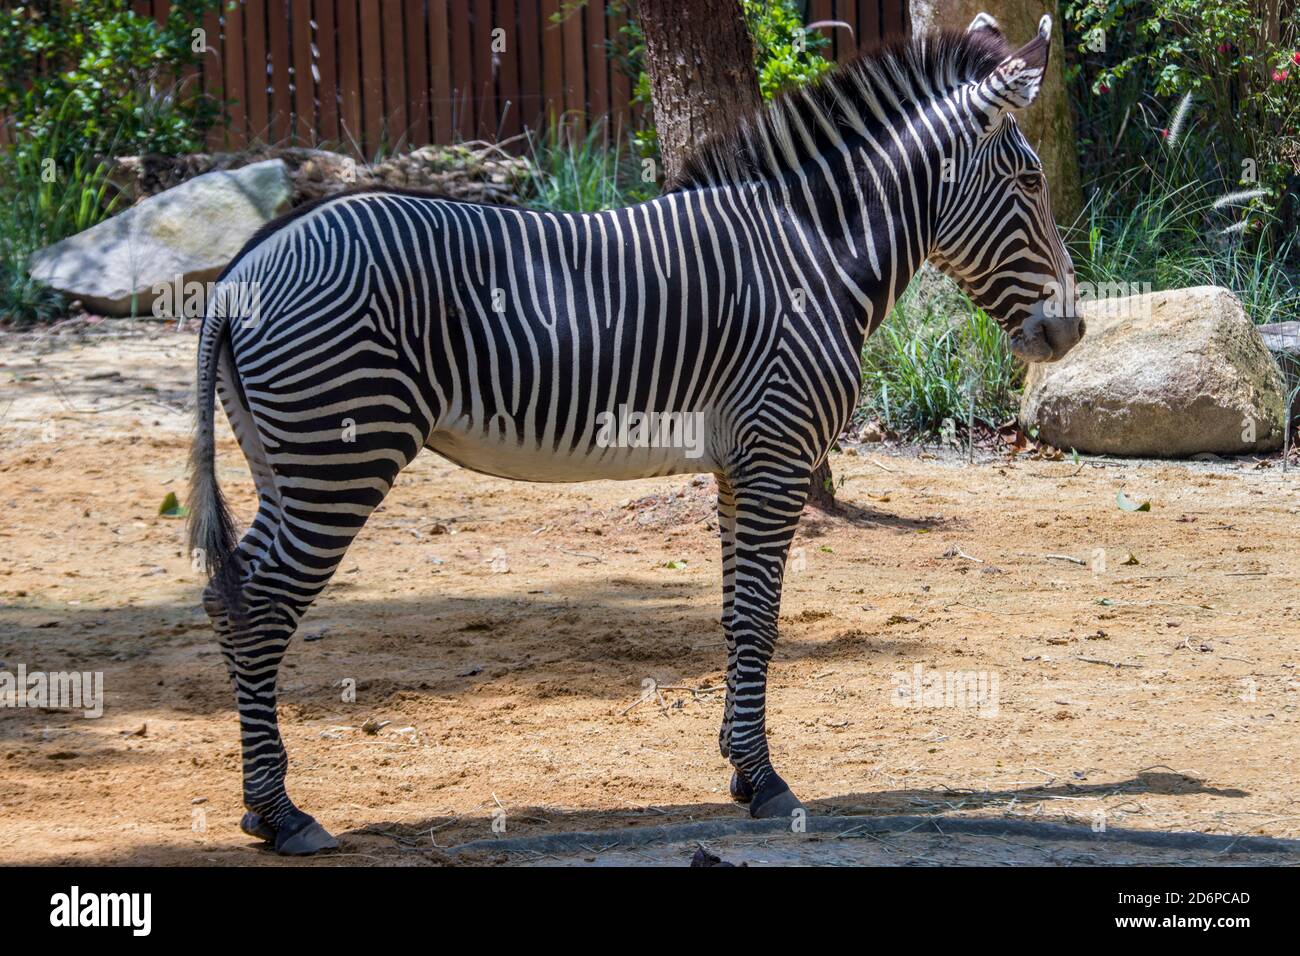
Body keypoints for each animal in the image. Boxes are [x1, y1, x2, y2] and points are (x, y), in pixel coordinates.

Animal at [189, 13, 1086, 853]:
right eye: (1029, 179)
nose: (1072, 331)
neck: (814, 253)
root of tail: (248, 264)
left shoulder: (739, 463)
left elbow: (734, 614)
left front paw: (738, 766)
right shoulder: (778, 452)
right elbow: (760, 616)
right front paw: (766, 782)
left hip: (284, 459)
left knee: (228, 593)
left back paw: (260, 808)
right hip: (342, 449)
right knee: (262, 603)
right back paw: (283, 815)